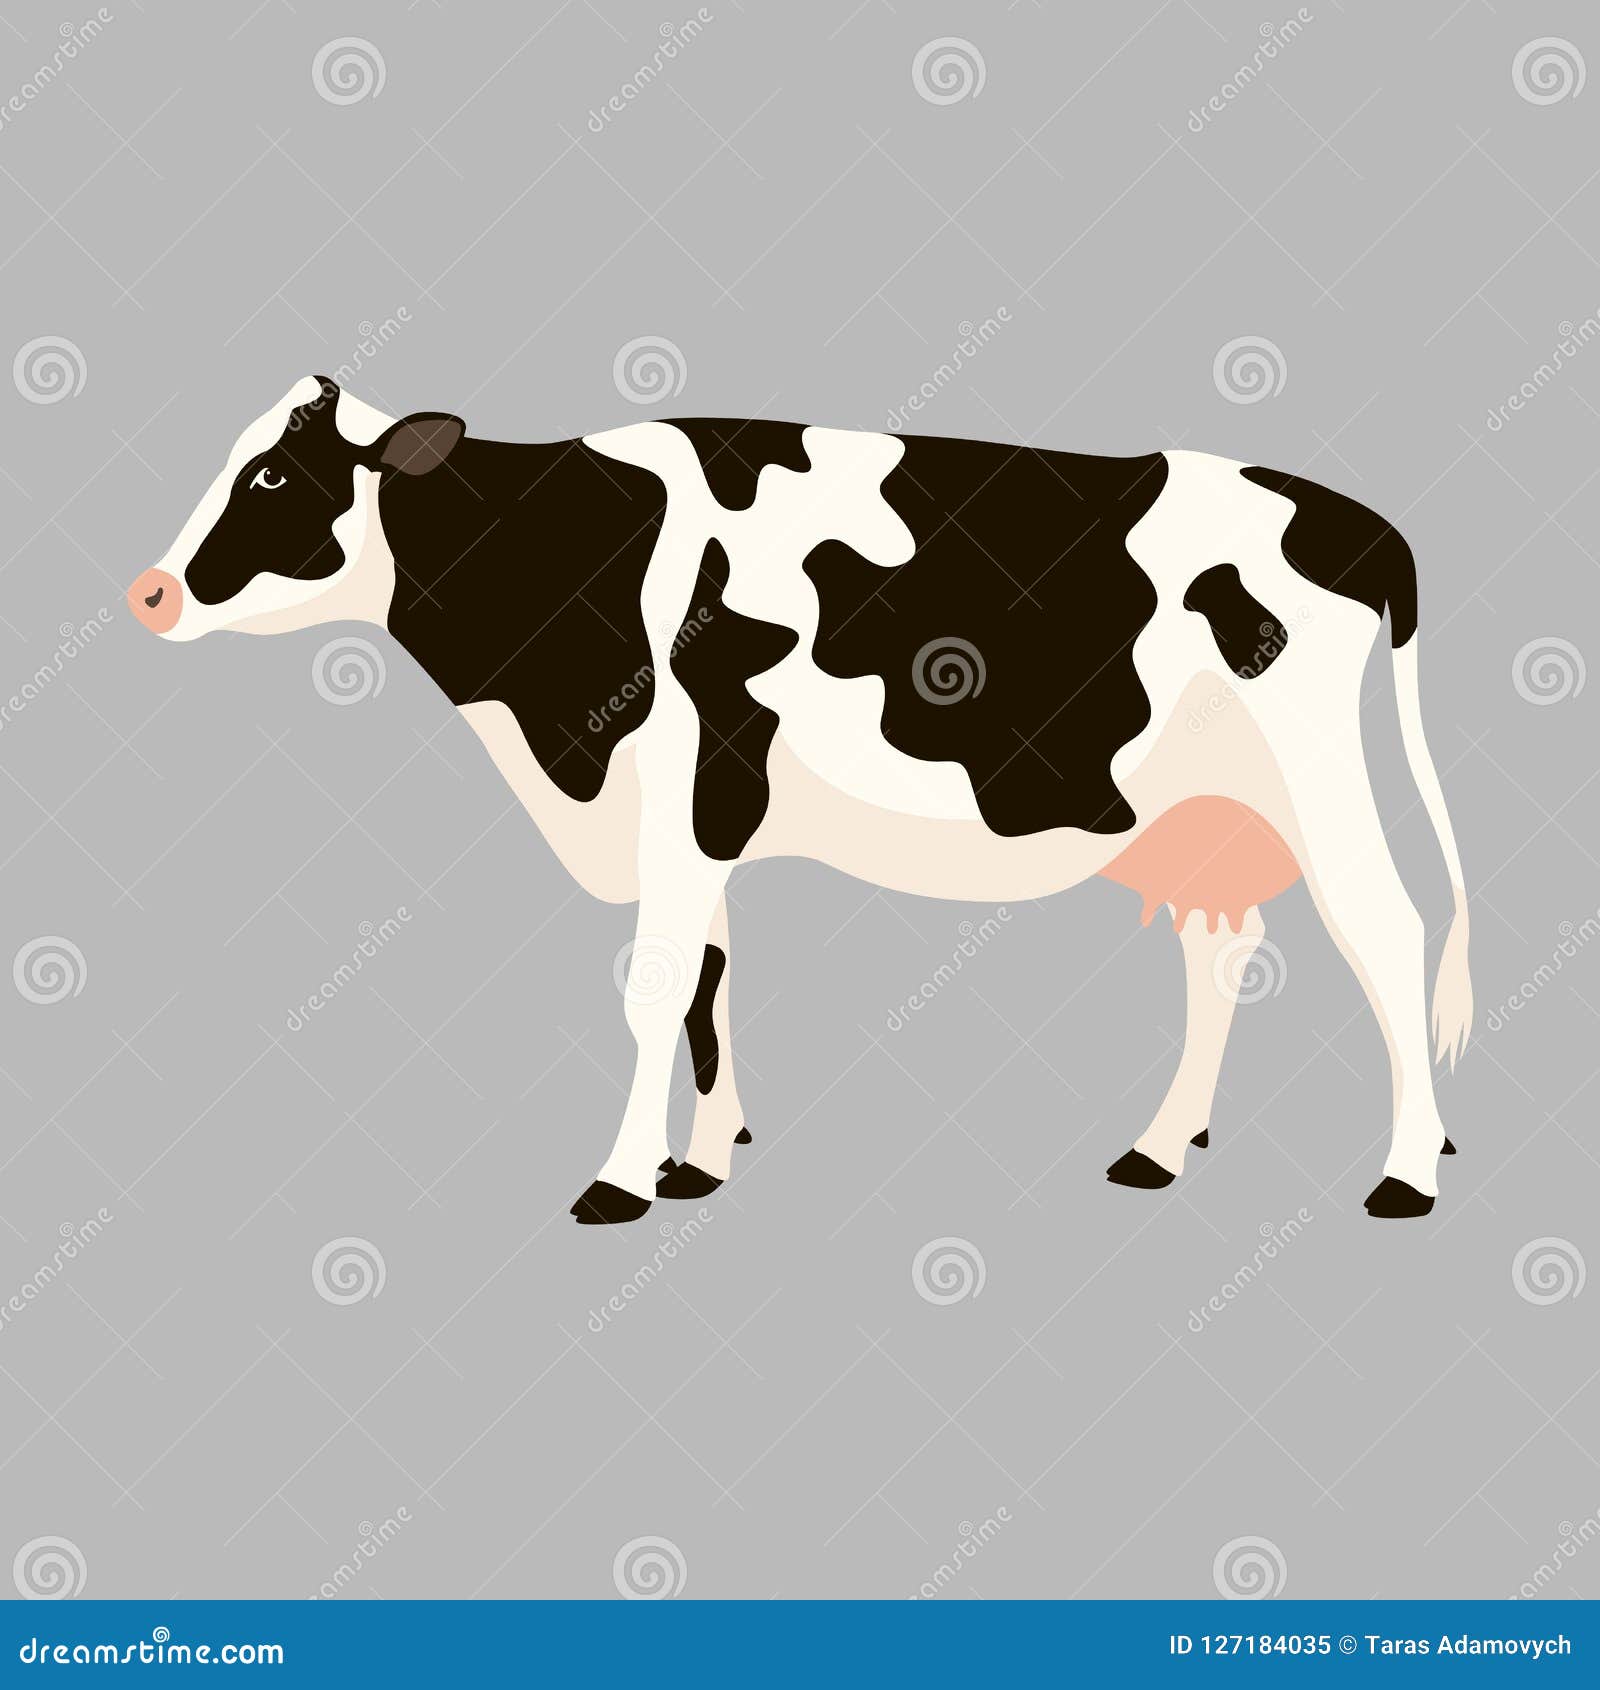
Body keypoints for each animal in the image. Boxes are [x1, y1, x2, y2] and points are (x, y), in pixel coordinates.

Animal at [127, 377, 1471, 1224]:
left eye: (271, 475)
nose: (147, 591)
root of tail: (1363, 526)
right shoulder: (703, 819)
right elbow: (708, 986)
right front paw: (699, 1164)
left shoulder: (682, 797)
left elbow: (653, 987)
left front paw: (619, 1180)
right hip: (1206, 813)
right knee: (1219, 947)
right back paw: (1156, 1149)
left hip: (1316, 770)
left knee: (1384, 929)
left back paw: (1406, 1175)